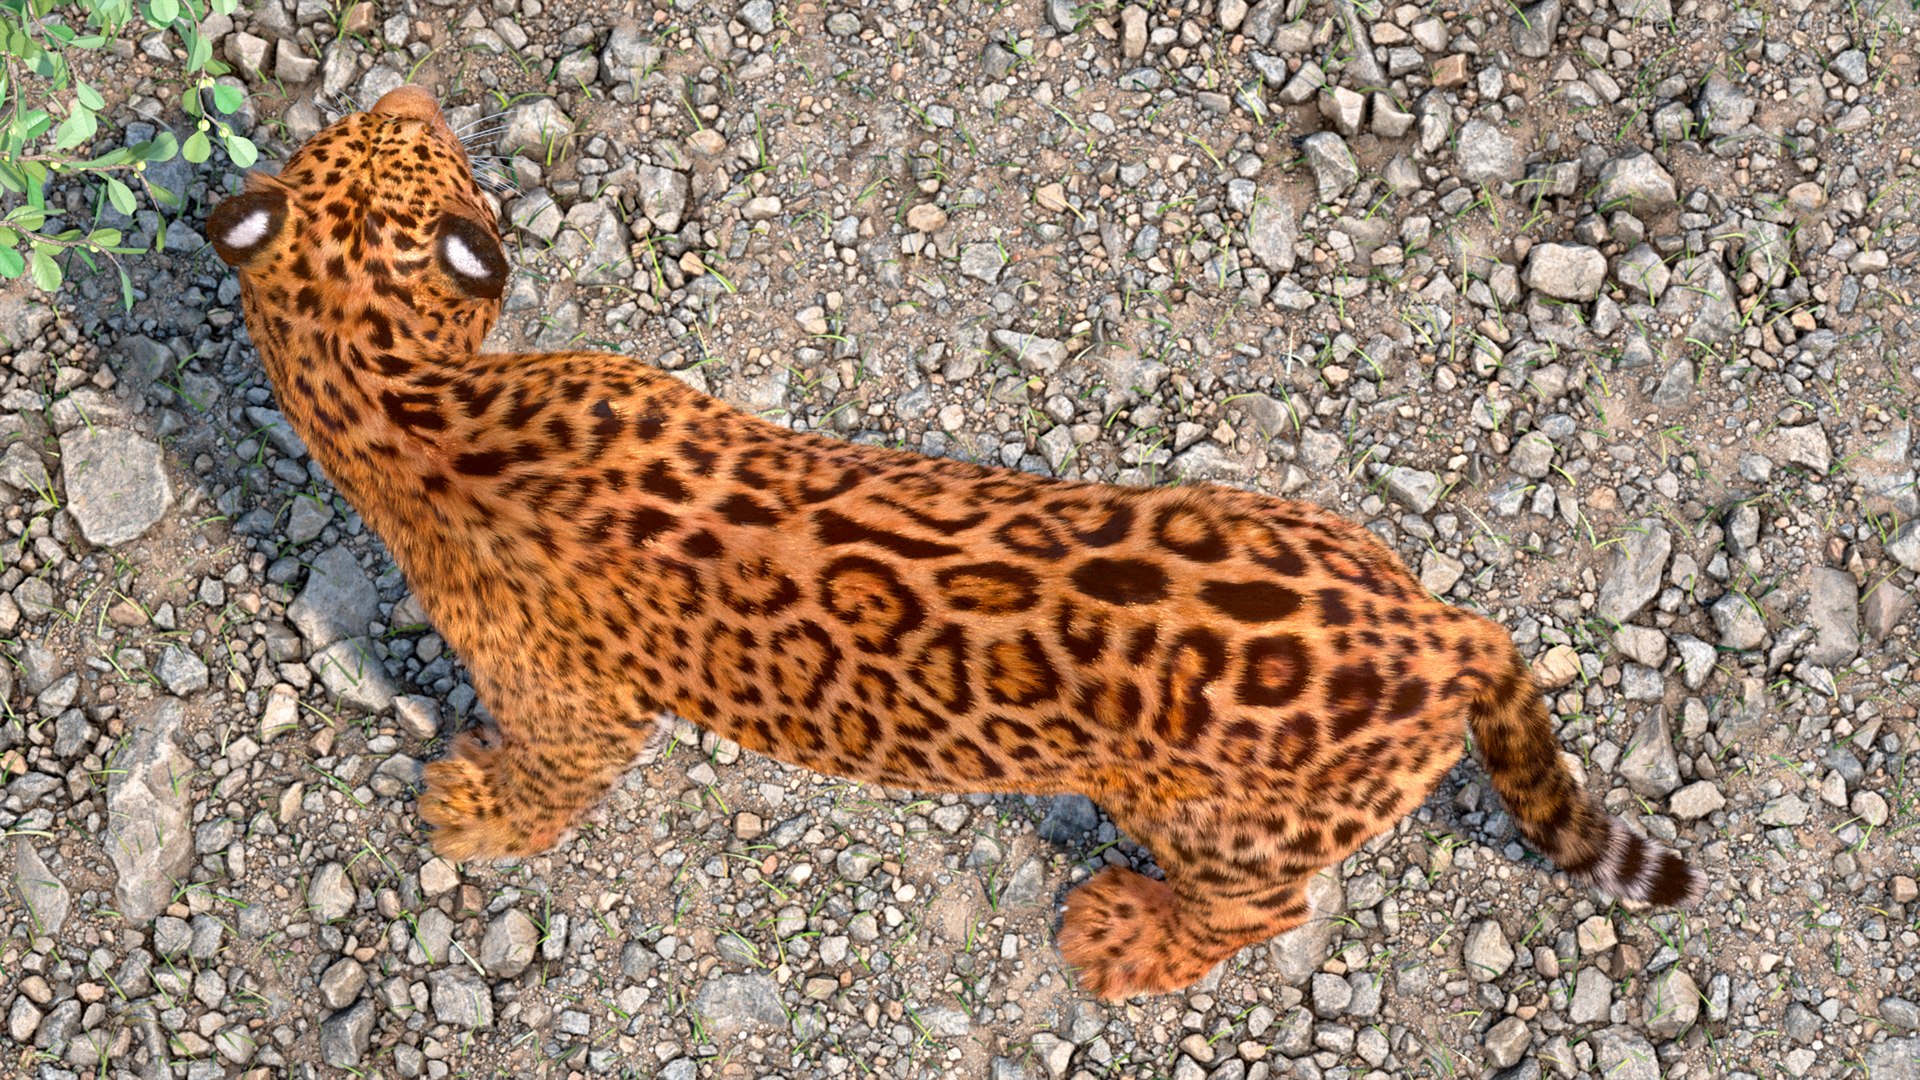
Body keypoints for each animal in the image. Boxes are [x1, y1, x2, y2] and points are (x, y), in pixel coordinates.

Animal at [209, 86, 1705, 1000]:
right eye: (361, 136)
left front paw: (472, 812)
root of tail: (1434, 631)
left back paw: (1127, 936)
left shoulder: (578, 707)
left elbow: (547, 777)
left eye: (418, 148)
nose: (411, 94)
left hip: (1208, 824)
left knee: (1267, 912)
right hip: (1302, 515)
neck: (401, 388)